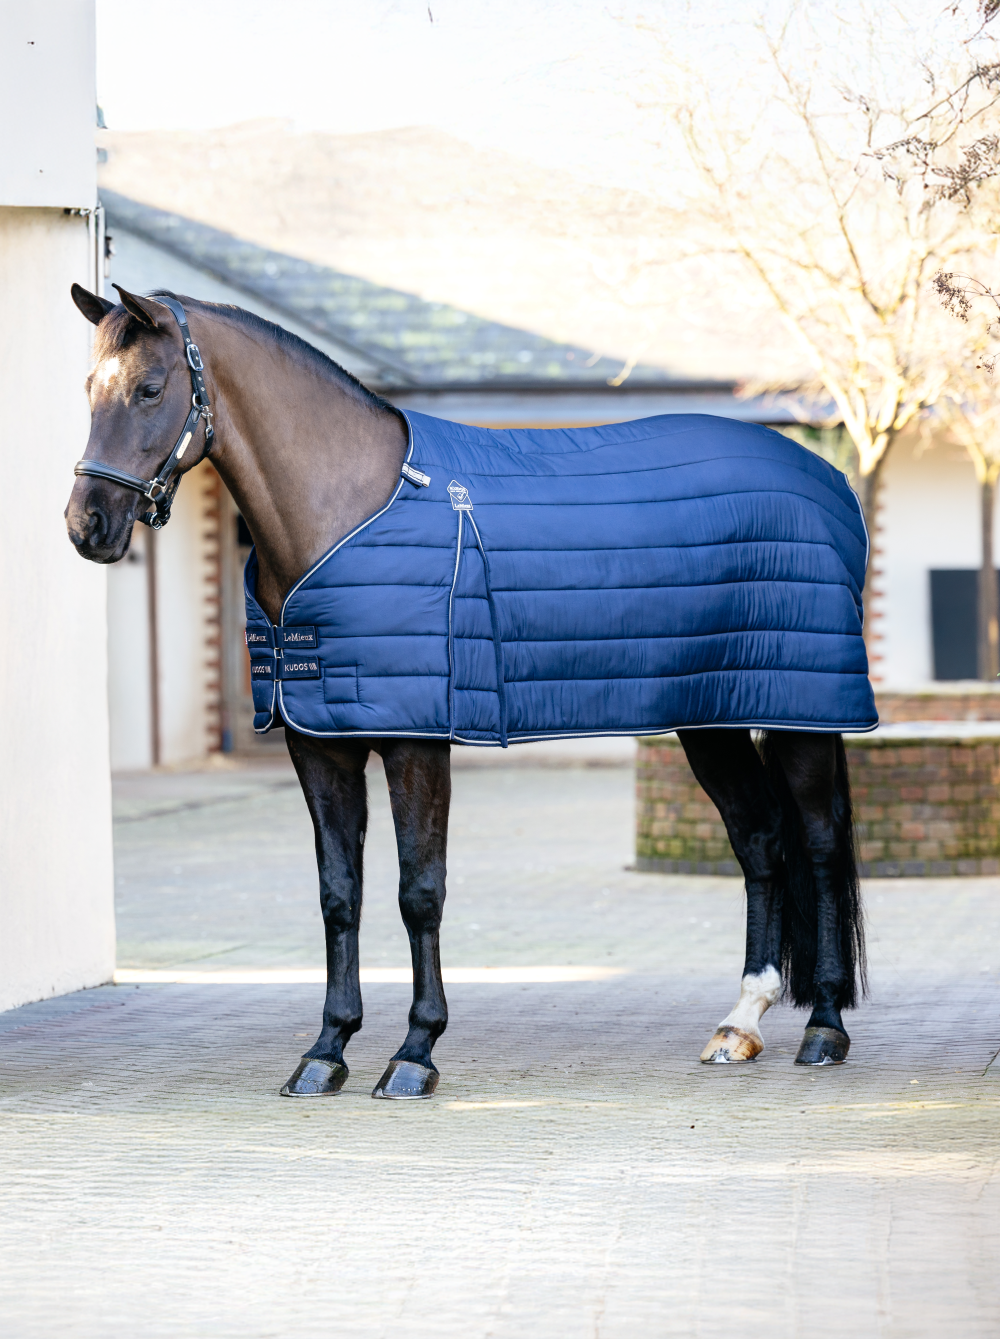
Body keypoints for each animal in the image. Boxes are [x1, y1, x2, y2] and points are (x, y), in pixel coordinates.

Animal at [65, 282, 869, 1099]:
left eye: (150, 388)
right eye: (88, 387)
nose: (86, 524)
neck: (347, 513)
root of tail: (831, 480)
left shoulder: (417, 743)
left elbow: (419, 891)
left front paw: (415, 1052)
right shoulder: (320, 745)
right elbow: (339, 895)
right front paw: (326, 1050)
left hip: (802, 717)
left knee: (820, 842)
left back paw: (824, 1027)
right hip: (714, 717)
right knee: (760, 839)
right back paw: (741, 1022)